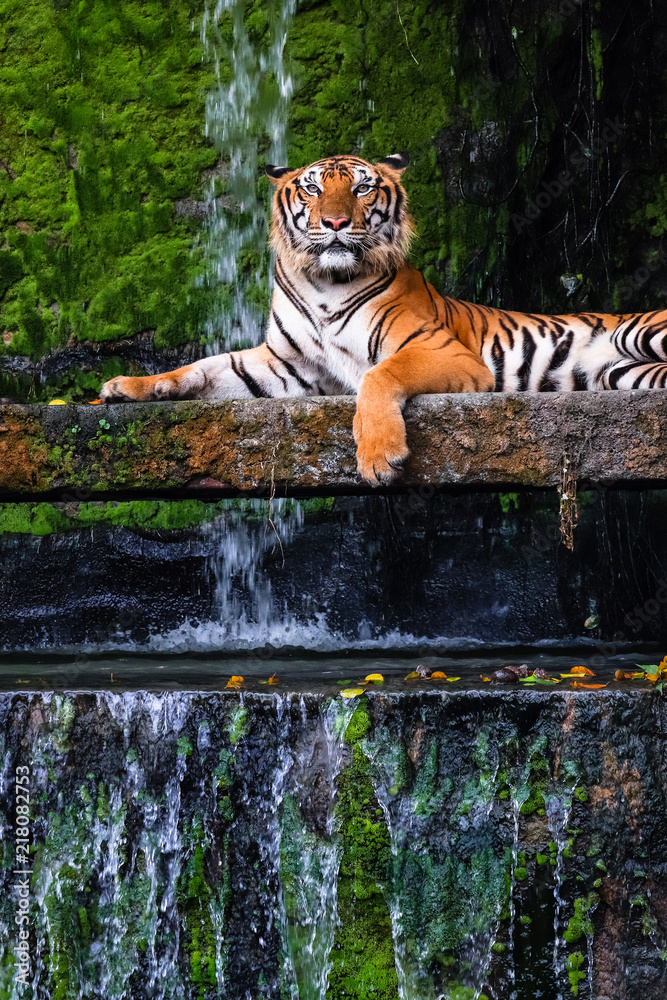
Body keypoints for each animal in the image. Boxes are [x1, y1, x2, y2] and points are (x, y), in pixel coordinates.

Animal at [101, 152, 667, 486]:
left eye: (361, 189)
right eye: (312, 189)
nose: (334, 222)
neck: (324, 282)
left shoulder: (440, 350)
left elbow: (379, 374)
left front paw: (378, 458)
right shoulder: (286, 368)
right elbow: (206, 366)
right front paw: (131, 387)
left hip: (644, 333)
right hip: (624, 374)